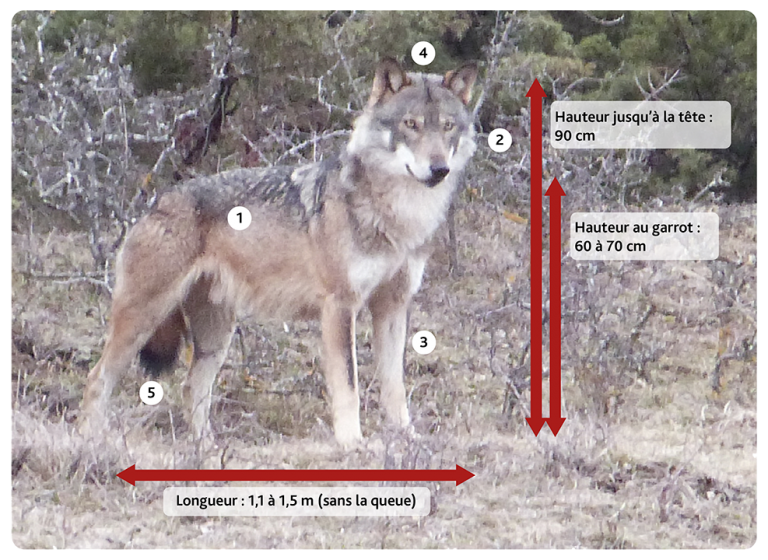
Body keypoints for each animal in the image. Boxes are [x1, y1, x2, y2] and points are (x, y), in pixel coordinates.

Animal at [79, 58, 478, 447]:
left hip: (216, 335)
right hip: (144, 318)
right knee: (97, 378)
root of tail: (155, 203)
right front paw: (352, 444)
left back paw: (206, 451)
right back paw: (94, 442)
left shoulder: (393, 306)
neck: (397, 214)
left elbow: (395, 386)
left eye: (447, 127)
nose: (439, 169)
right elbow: (348, 386)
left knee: (192, 388)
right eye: (411, 124)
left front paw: (407, 438)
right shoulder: (340, 306)